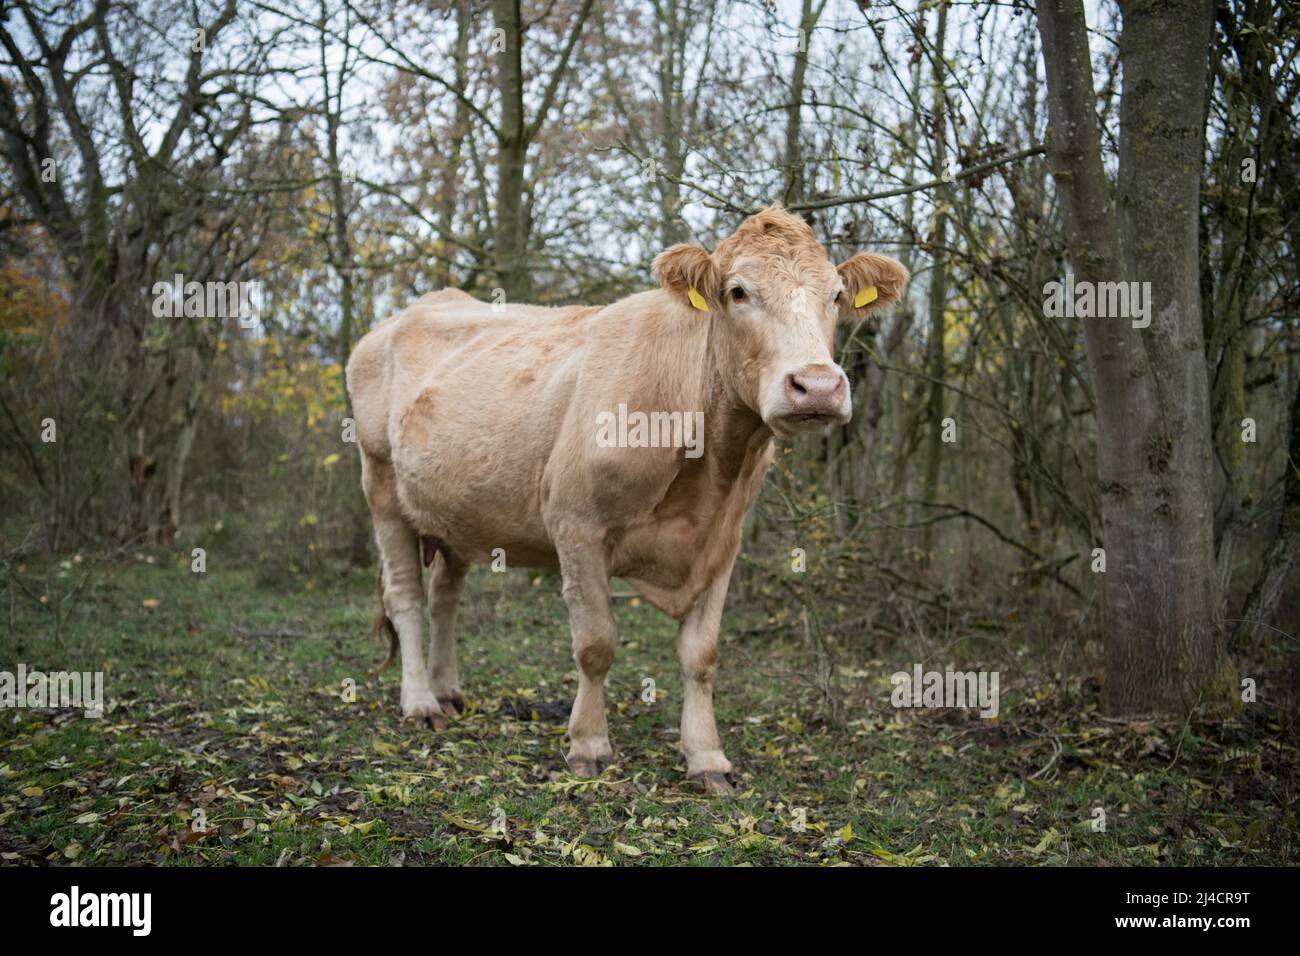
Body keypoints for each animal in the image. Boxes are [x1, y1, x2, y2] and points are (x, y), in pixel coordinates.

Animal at [346, 205, 907, 791]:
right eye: (738, 292)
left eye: (836, 294)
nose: (817, 386)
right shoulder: (576, 526)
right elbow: (596, 645)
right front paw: (589, 745)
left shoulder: (723, 540)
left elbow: (701, 654)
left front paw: (707, 757)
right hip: (381, 487)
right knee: (406, 599)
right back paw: (420, 703)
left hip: (454, 513)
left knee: (445, 597)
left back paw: (448, 690)